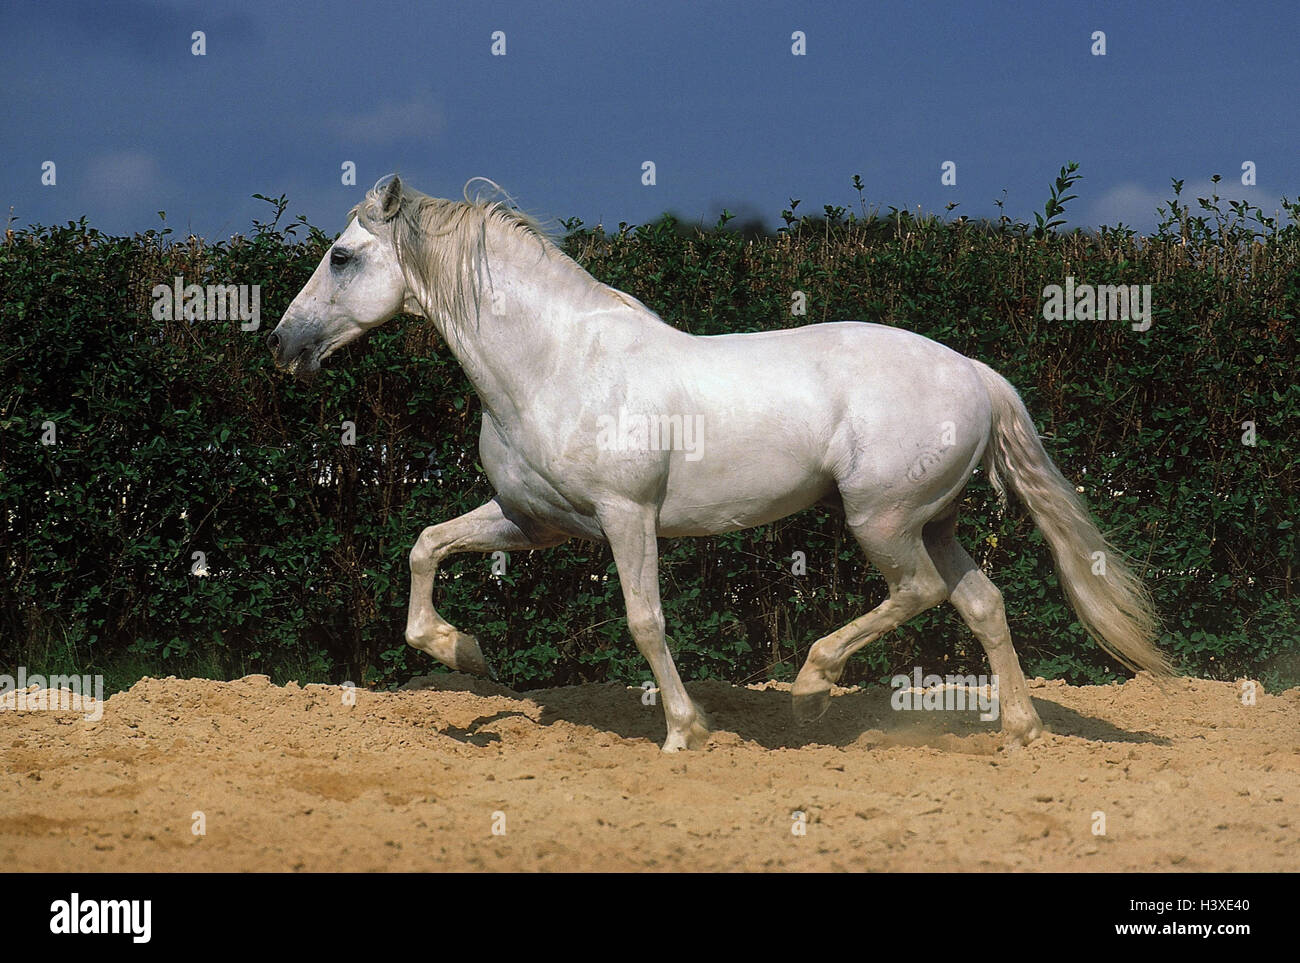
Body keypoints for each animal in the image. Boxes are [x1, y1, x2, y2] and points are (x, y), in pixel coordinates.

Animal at [267, 175, 1172, 752]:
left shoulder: (626, 516)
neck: (555, 364)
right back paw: (1018, 732)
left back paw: (811, 686)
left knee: (917, 591)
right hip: (933, 519)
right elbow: (425, 545)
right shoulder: (536, 521)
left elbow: (645, 620)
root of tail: (975, 373)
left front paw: (684, 730)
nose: (280, 344)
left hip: (880, 517)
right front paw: (464, 653)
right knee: (982, 601)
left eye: (342, 257)